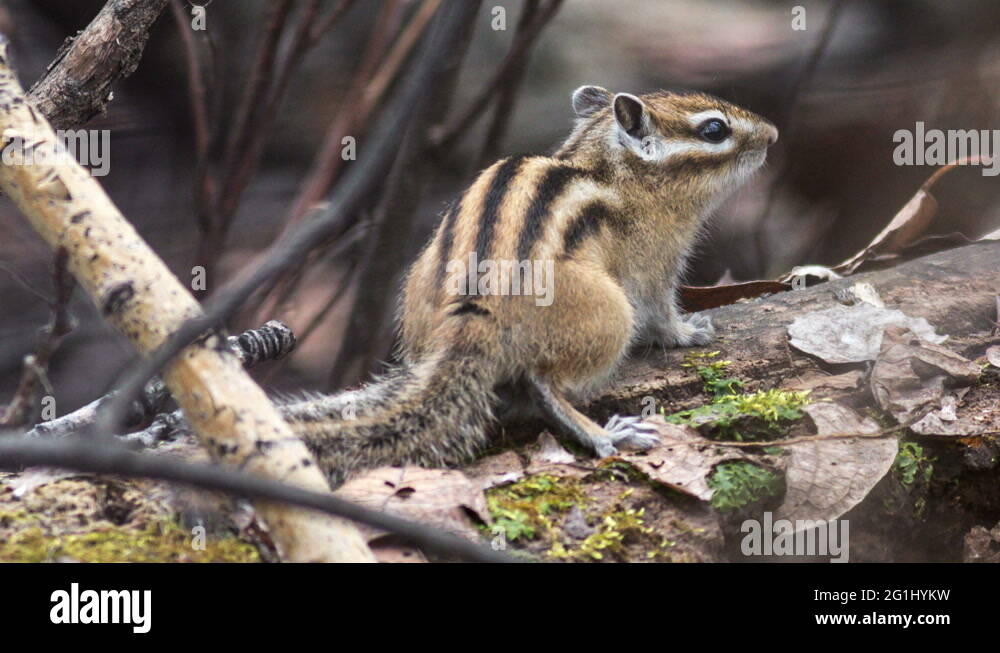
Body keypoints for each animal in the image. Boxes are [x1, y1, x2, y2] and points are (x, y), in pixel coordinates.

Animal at [283, 86, 778, 485]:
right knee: (545, 386)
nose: (773, 135)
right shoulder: (656, 260)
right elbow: (660, 312)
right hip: (610, 313)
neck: (612, 172)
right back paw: (605, 435)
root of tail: (472, 319)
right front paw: (688, 332)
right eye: (714, 129)